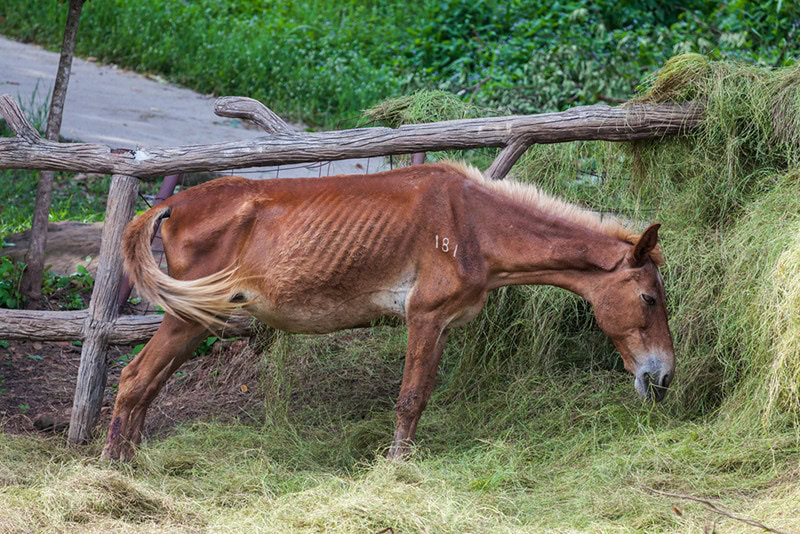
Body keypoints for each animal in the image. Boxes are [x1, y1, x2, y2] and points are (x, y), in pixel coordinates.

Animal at [102, 162, 675, 461]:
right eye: (649, 298)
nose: (663, 378)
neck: (473, 224)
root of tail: (171, 204)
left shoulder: (440, 326)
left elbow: (417, 397)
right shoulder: (425, 318)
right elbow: (411, 399)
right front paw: (397, 467)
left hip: (193, 321)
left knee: (145, 384)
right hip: (188, 319)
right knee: (133, 379)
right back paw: (113, 467)